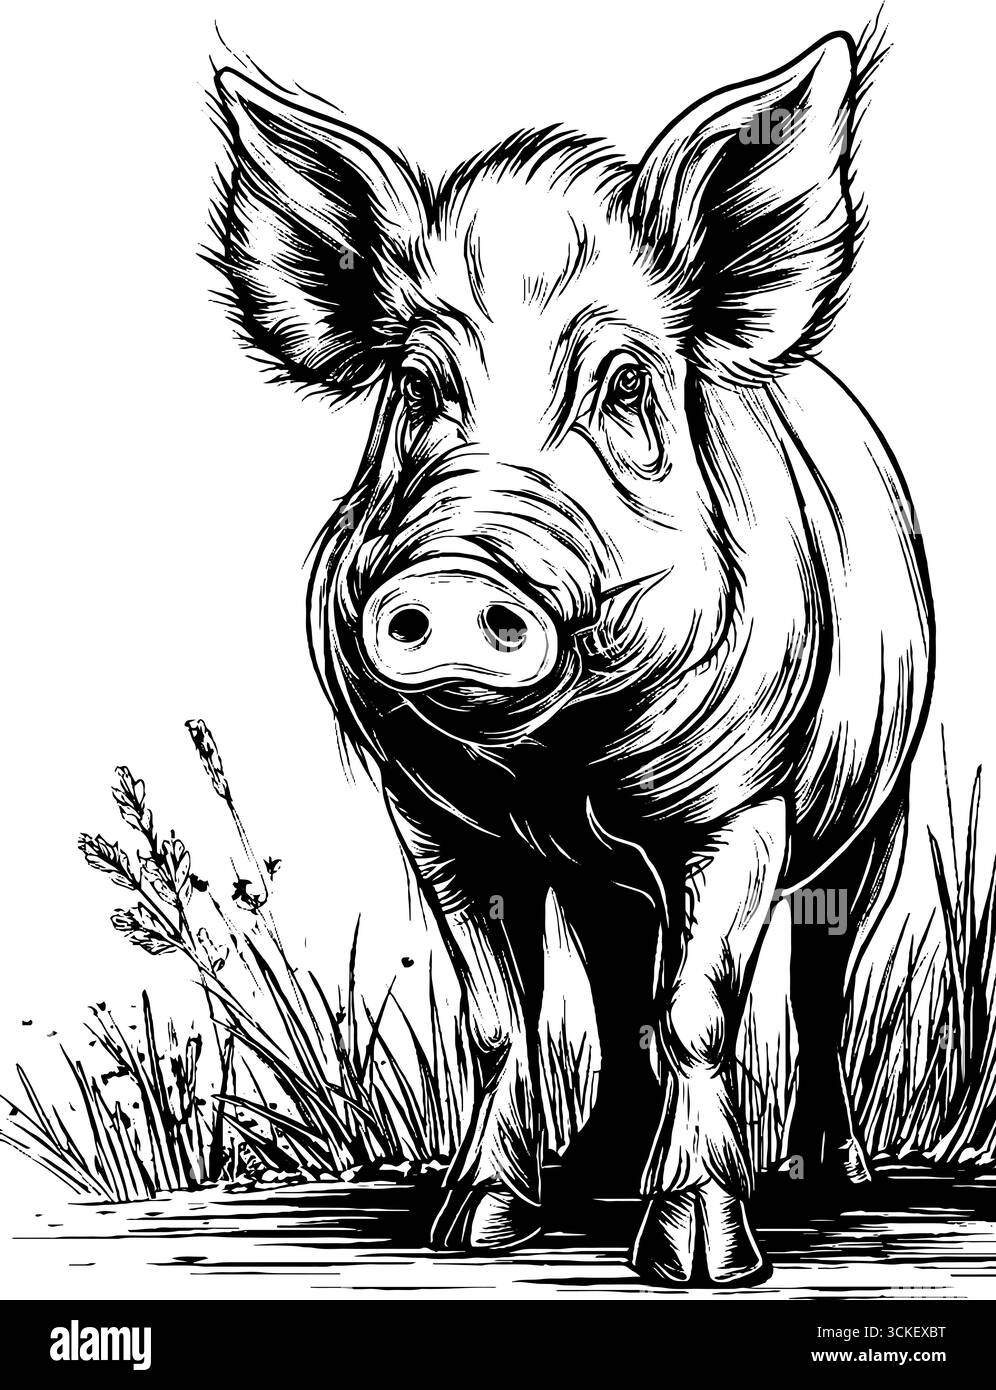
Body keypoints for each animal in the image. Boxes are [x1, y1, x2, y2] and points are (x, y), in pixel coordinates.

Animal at [213, 30, 933, 1285]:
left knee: (822, 976)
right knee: (611, 986)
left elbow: (701, 1006)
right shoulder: (434, 817)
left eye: (624, 385)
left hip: (873, 817)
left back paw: (832, 1178)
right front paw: (470, 1230)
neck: (562, 766)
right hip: (611, 883)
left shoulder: (742, 805)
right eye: (416, 386)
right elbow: (503, 1016)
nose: (456, 581)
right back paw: (597, 1173)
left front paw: (702, 1258)